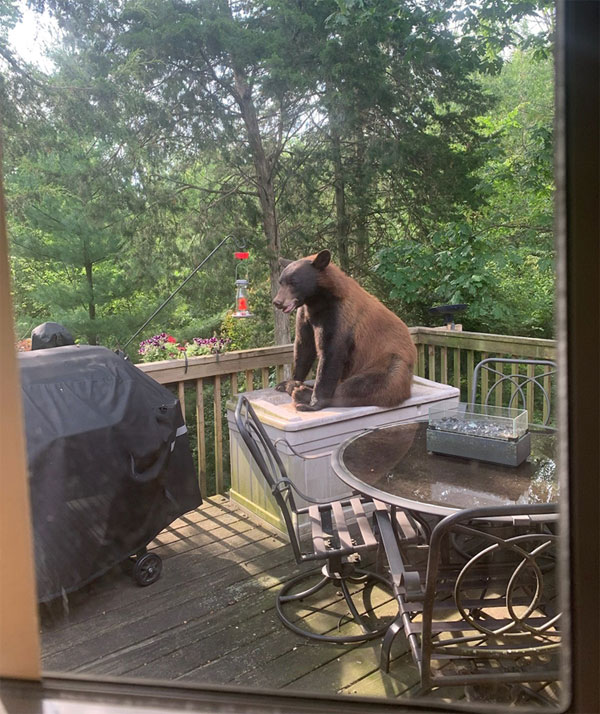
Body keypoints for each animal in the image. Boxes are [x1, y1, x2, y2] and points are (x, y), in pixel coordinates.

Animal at [272, 249, 417, 411]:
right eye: (281, 282)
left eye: (294, 282)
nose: (277, 302)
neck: (317, 301)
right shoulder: (306, 314)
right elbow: (303, 346)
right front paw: (289, 381)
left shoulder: (339, 315)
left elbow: (331, 353)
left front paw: (314, 403)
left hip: (390, 367)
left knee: (358, 387)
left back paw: (302, 392)